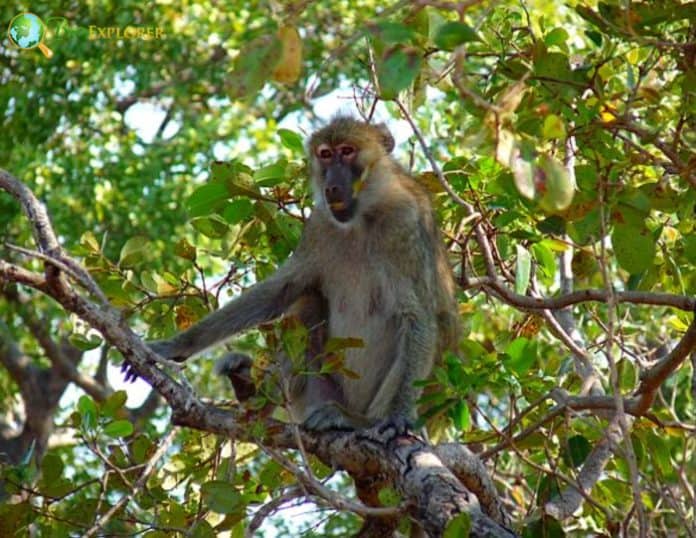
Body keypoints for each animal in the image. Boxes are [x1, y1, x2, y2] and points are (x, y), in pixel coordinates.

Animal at [124, 116, 460, 432]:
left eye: (347, 151)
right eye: (325, 155)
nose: (332, 186)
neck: (364, 218)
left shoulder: (405, 224)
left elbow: (418, 317)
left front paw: (396, 417)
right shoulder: (319, 225)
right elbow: (281, 290)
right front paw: (174, 347)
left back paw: (357, 420)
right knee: (309, 302)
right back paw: (253, 396)